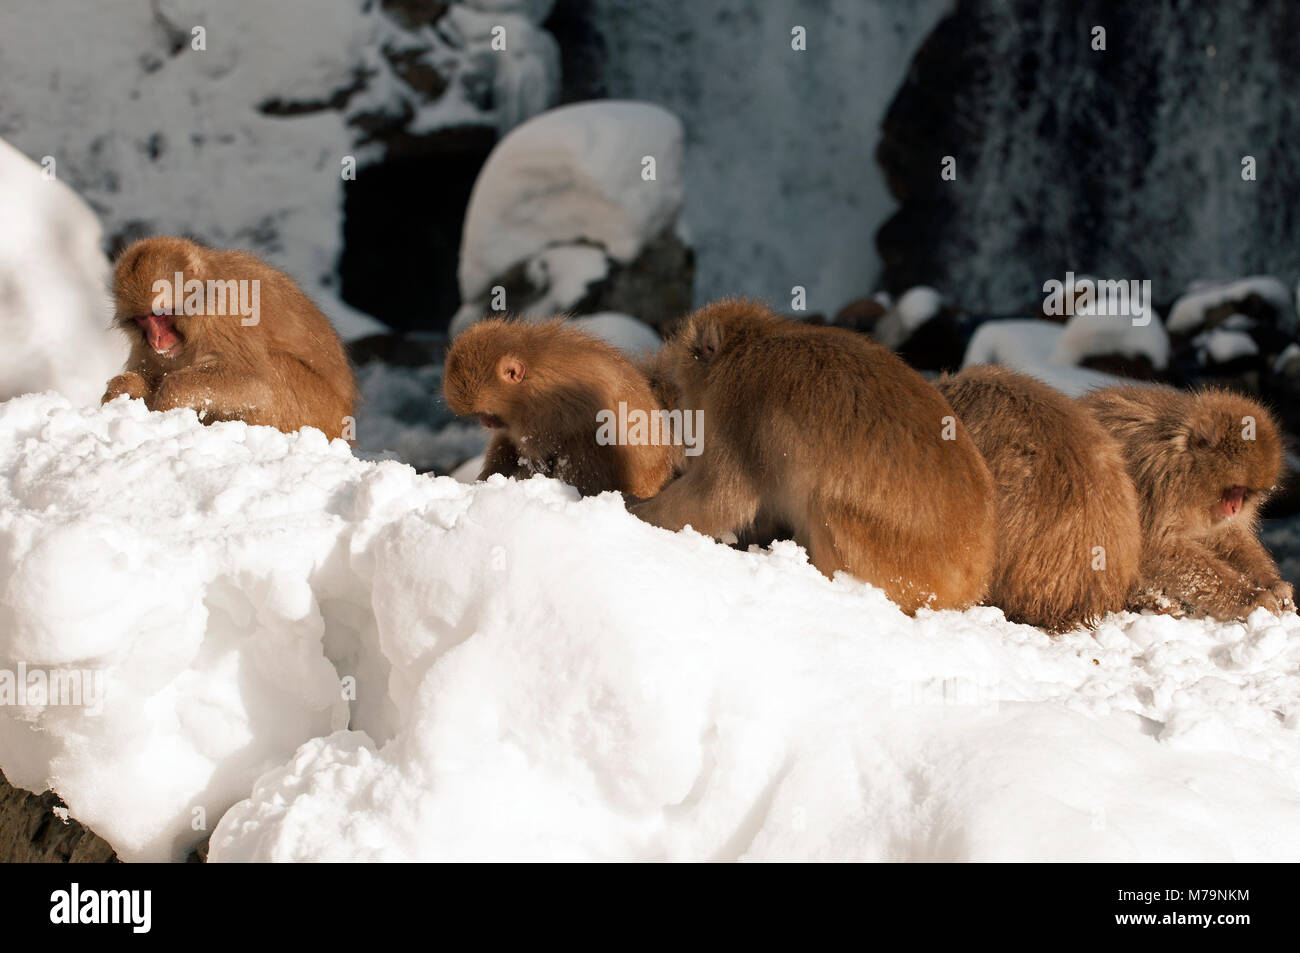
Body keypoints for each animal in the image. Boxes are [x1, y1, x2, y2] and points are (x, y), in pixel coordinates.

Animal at [102, 237, 356, 441]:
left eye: (161, 314)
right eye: (142, 319)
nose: (156, 338)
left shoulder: (221, 312)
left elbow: (255, 382)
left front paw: (166, 404)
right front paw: (120, 390)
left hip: (322, 414)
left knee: (276, 368)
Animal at [442, 317, 680, 498]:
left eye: (486, 413)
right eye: (481, 415)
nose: (486, 422)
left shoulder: (542, 410)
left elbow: (538, 458)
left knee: (585, 441)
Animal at [628, 299, 997, 614]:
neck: (746, 348)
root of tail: (971, 584)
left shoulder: (736, 408)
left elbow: (717, 499)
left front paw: (635, 510)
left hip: (900, 568)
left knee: (825, 505)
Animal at [1080, 385, 1294, 622]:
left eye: (1244, 492)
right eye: (1234, 488)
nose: (1235, 507)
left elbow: (1223, 535)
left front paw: (1274, 584)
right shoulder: (1156, 480)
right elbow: (1158, 550)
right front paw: (1251, 597)